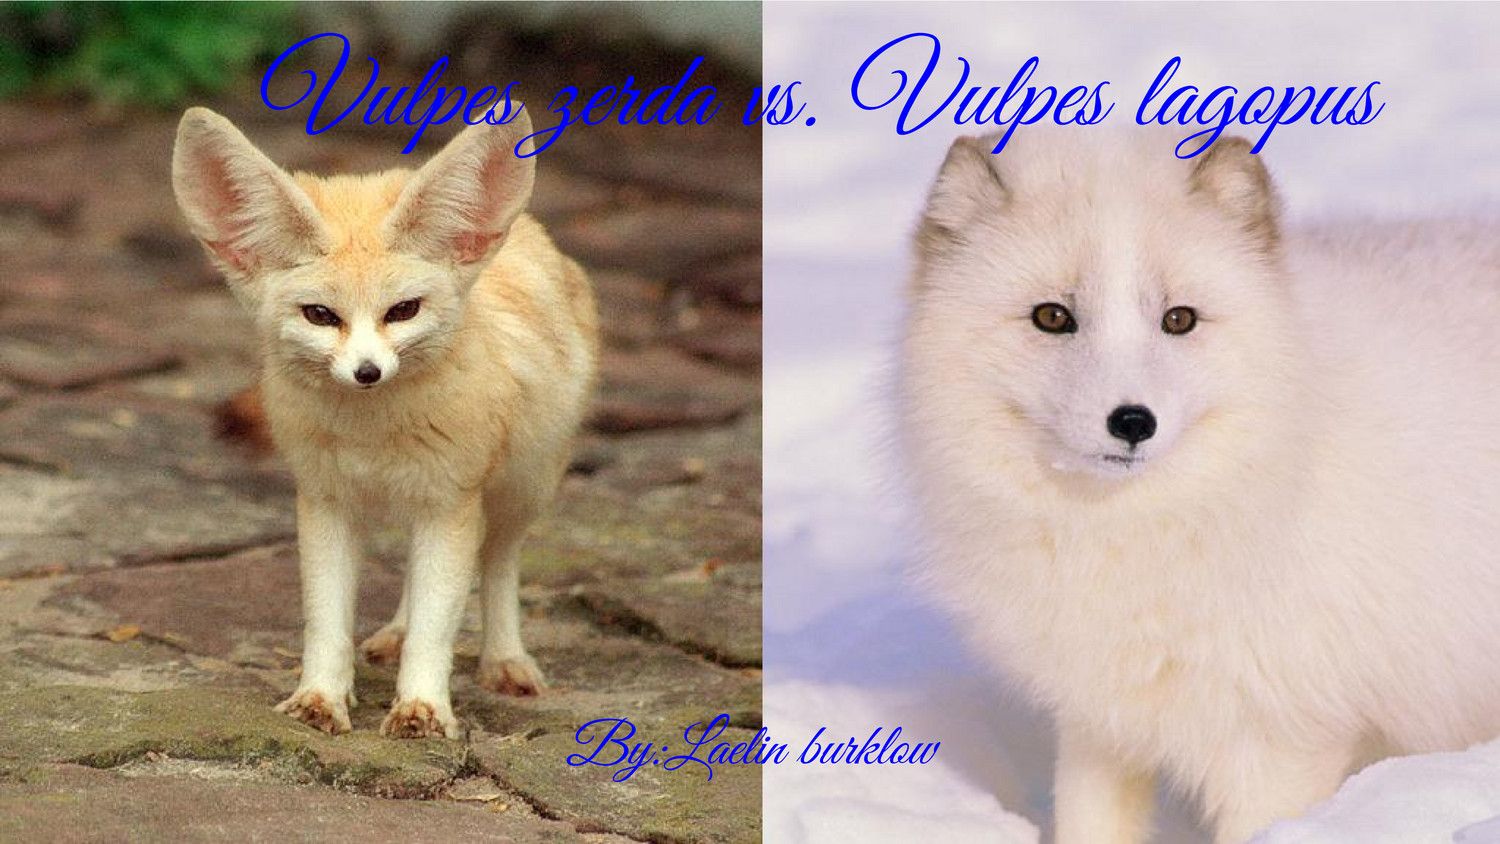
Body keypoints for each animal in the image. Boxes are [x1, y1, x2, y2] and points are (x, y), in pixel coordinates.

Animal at [172, 107, 598, 739]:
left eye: (403, 311)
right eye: (320, 315)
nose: (367, 372)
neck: (371, 435)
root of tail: (524, 228)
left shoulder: (450, 502)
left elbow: (437, 624)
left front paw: (422, 706)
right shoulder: (327, 502)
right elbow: (328, 620)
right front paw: (320, 698)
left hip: (522, 490)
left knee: (497, 563)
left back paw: (504, 659)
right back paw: (395, 633)